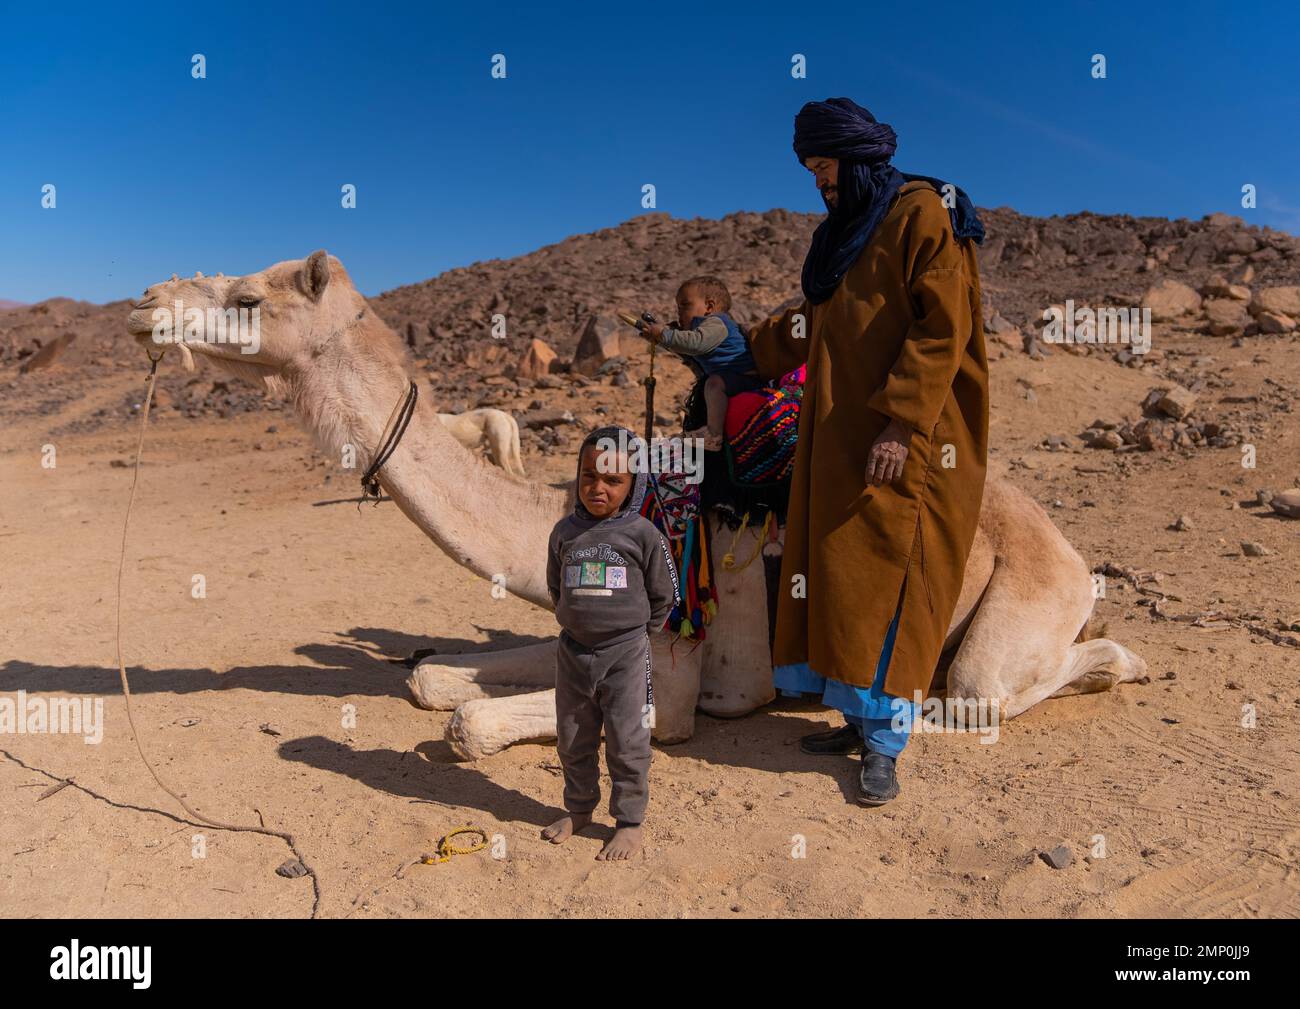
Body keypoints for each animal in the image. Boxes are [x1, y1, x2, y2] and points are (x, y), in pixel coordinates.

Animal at [126, 251, 1147, 759]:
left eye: (247, 294)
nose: (143, 301)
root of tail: (1071, 551)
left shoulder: (679, 685)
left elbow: (470, 724)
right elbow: (434, 679)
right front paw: (440, 674)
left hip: (1009, 612)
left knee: (981, 695)